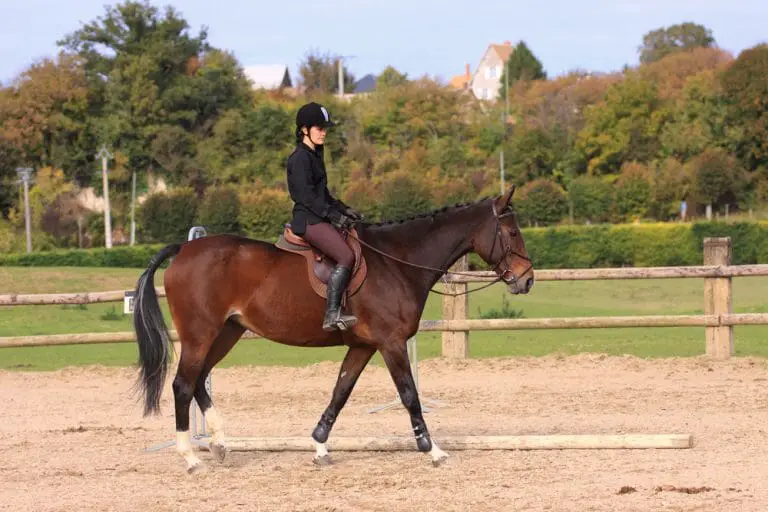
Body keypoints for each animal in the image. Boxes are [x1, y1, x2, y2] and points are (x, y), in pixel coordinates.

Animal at [132, 186, 534, 473]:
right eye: (512, 231)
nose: (527, 279)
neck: (397, 262)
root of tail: (184, 249)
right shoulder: (391, 343)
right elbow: (409, 395)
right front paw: (432, 450)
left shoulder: (363, 346)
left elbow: (340, 391)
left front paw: (320, 446)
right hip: (199, 334)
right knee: (183, 384)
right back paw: (191, 458)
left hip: (226, 333)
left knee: (200, 380)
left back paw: (218, 445)